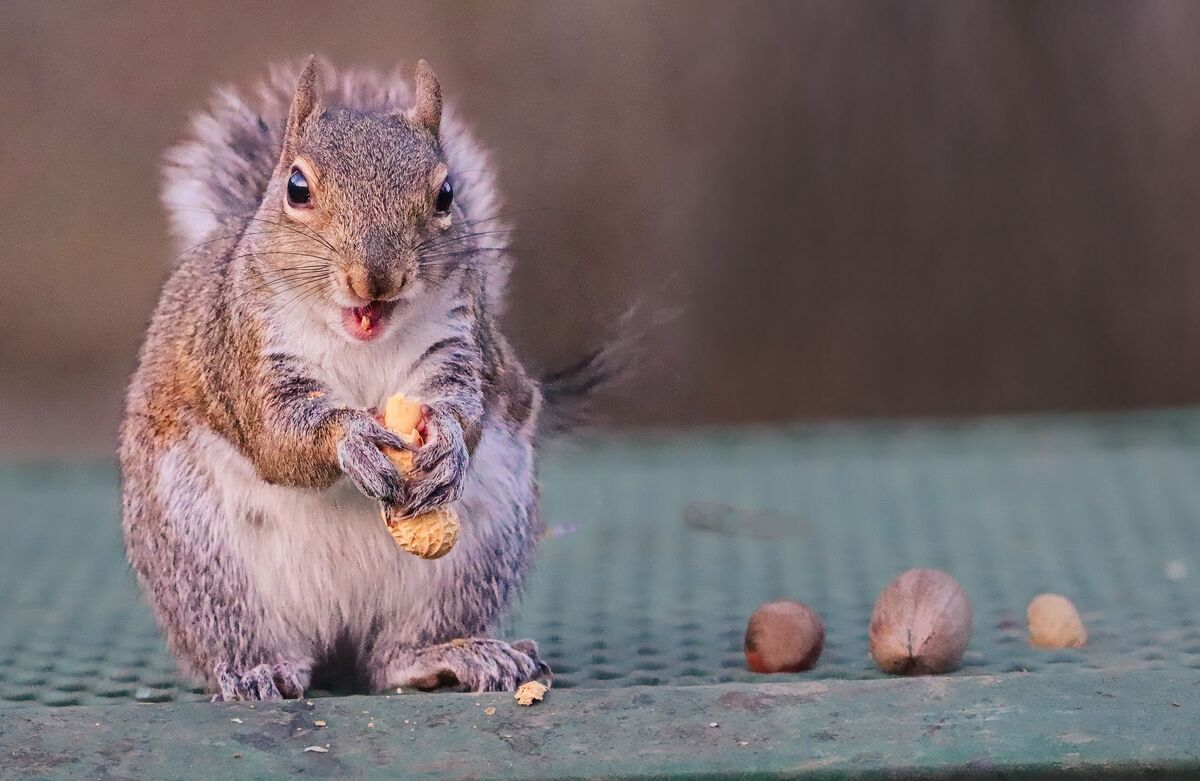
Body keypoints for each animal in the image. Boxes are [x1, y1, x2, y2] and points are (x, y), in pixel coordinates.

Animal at [119, 57, 597, 700]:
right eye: (297, 188)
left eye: (446, 194)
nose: (376, 277)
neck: (358, 340)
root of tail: (339, 636)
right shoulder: (244, 351)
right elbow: (278, 437)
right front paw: (354, 441)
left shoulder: (458, 342)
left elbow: (465, 411)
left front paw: (447, 442)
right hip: (202, 559)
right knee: (249, 638)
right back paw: (258, 670)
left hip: (477, 549)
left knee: (390, 660)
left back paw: (451, 655)